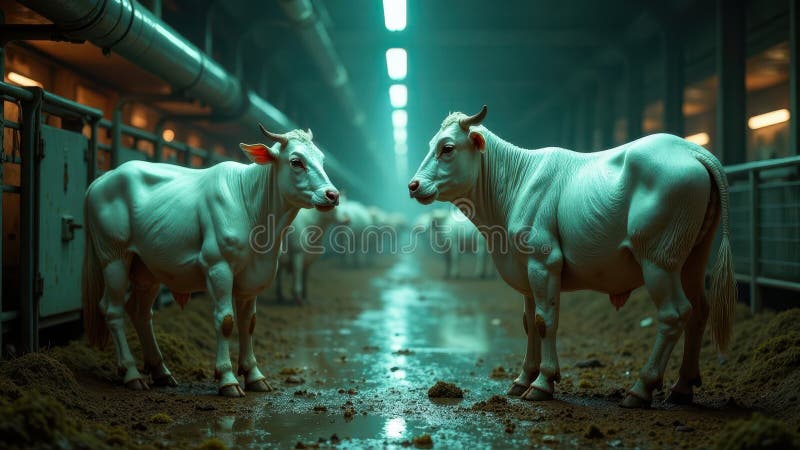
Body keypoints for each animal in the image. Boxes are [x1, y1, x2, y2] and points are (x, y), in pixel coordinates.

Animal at [82, 124, 339, 397]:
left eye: (322, 160)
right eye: (296, 162)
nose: (332, 195)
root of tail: (101, 180)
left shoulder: (252, 276)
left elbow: (249, 323)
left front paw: (254, 375)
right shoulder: (218, 266)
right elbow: (226, 320)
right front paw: (227, 379)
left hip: (146, 268)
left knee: (140, 312)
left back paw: (161, 371)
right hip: (114, 257)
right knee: (113, 310)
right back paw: (131, 373)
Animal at [408, 106, 736, 408]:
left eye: (447, 147)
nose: (413, 185)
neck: (514, 189)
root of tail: (690, 149)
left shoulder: (544, 261)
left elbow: (545, 321)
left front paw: (543, 382)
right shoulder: (525, 268)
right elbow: (528, 322)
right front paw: (522, 379)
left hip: (658, 258)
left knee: (674, 314)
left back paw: (641, 389)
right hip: (692, 258)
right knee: (699, 309)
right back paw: (682, 386)